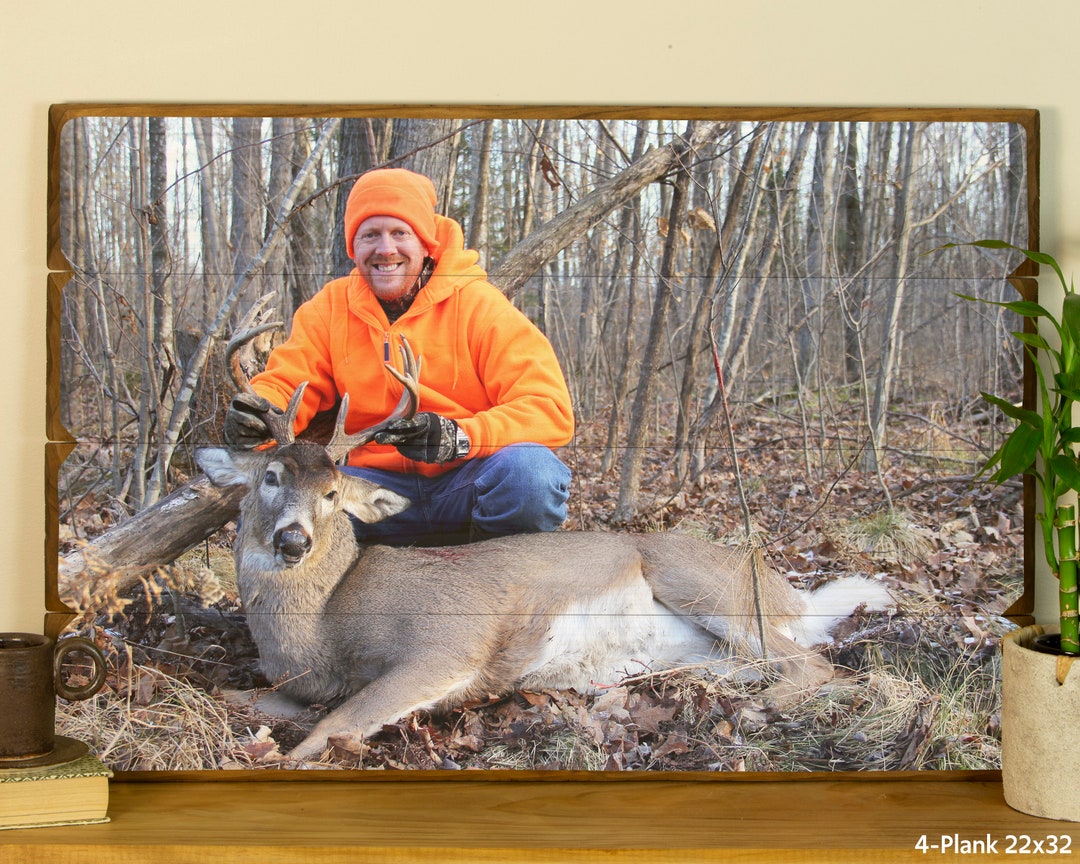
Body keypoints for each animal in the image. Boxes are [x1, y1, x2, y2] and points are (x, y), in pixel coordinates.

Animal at [196, 330, 893, 763]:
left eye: (334, 493)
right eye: (269, 477)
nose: (293, 539)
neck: (324, 626)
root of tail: (790, 593)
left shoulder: (448, 642)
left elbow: (327, 729)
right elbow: (242, 698)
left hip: (704, 584)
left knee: (817, 664)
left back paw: (755, 713)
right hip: (706, 651)